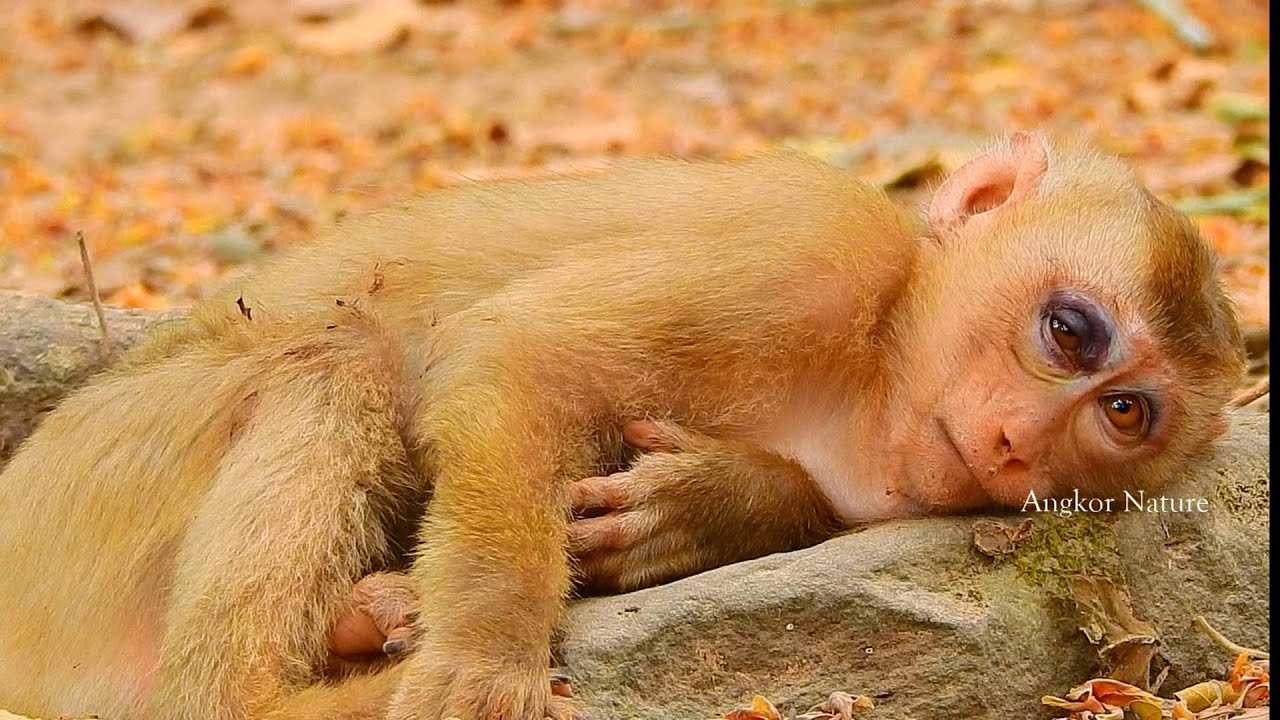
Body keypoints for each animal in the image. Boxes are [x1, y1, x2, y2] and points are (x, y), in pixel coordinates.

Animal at [0, 132, 1244, 720]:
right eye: (1070, 332)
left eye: (1124, 415)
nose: (1018, 445)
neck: (875, 354)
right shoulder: (801, 245)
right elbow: (516, 356)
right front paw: (485, 654)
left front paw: (704, 507)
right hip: (82, 502)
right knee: (334, 360)